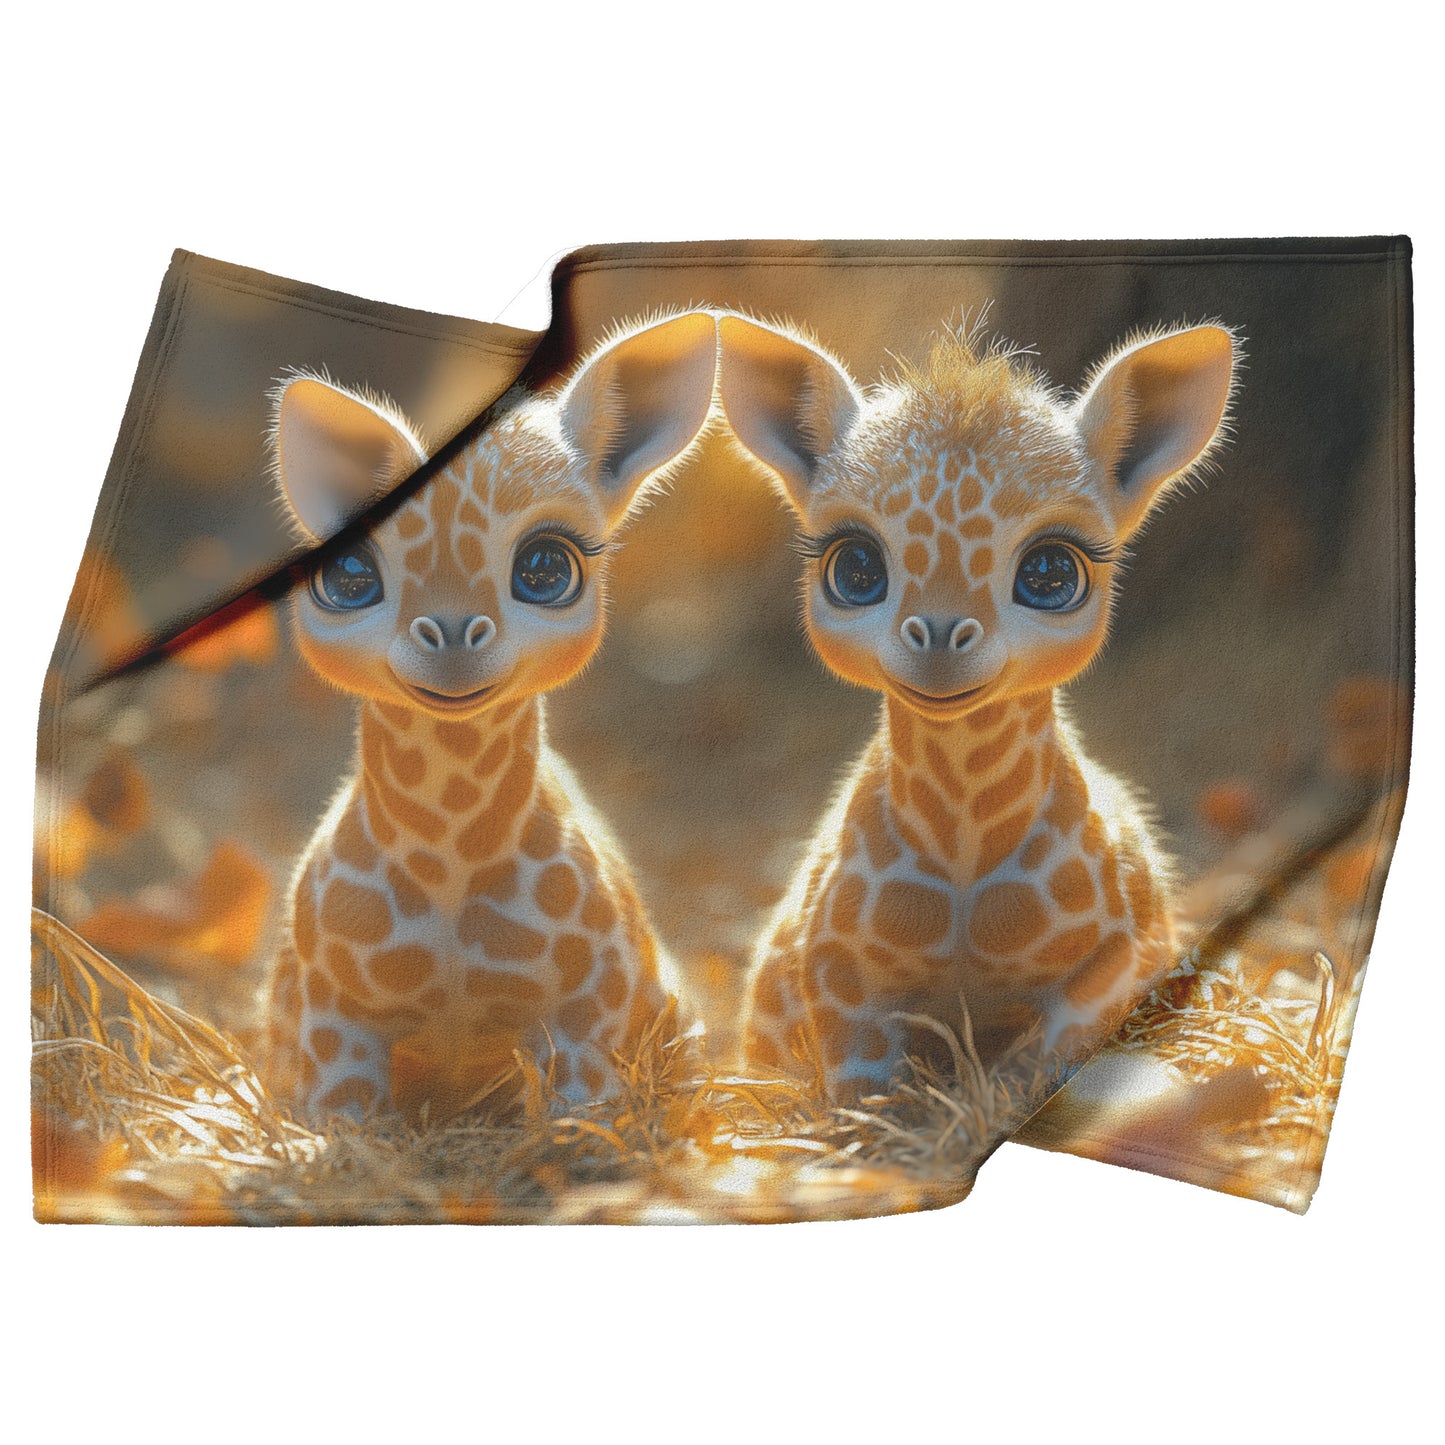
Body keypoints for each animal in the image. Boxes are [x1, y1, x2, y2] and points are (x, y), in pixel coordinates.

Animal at [261, 312, 718, 1122]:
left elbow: (586, 1119)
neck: (448, 876)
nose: (449, 634)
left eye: (546, 567)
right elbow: (343, 1117)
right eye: (348, 575)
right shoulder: (335, 1011)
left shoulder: (585, 1007)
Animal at [715, 311, 1238, 1099]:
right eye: (855, 566)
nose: (938, 635)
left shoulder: (1117, 959)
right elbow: (865, 1099)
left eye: (1051, 572)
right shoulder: (839, 975)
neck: (963, 855)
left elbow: (1042, 1066)